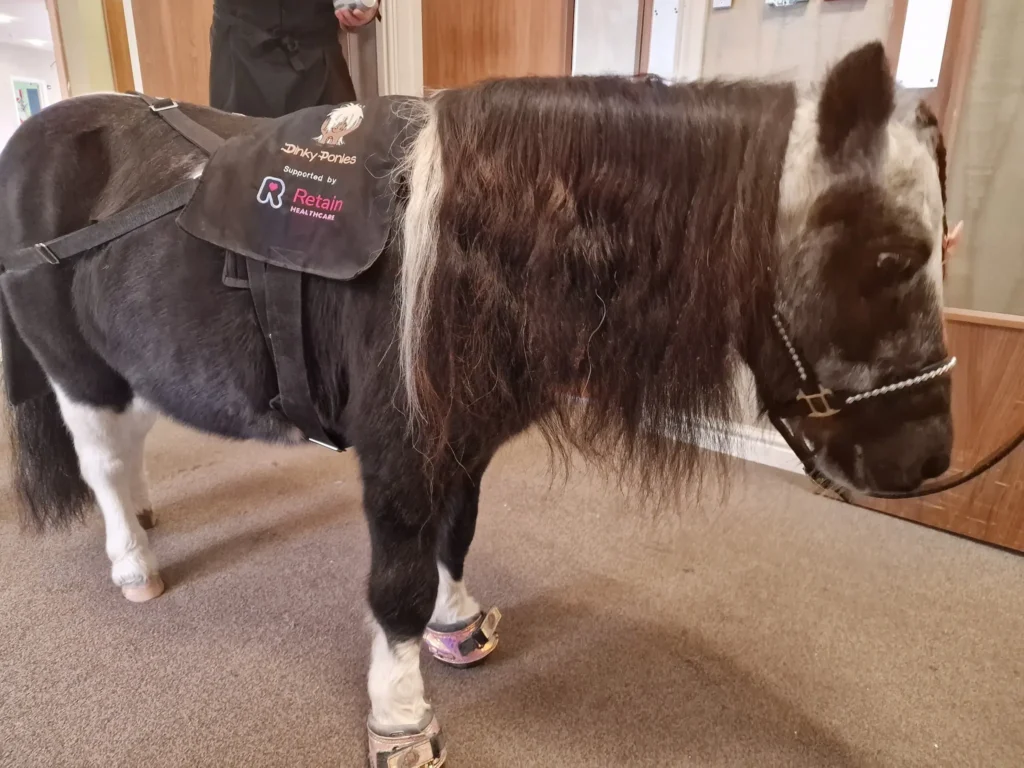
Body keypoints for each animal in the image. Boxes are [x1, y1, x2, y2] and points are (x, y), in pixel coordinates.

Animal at [0, 42, 954, 766]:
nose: (929, 459)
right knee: (102, 459)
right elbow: (396, 587)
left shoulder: (465, 440)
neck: (462, 250)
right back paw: (133, 561)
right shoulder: (398, 454)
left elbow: (453, 540)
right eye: (891, 258)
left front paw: (456, 625)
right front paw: (400, 717)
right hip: (75, 368)